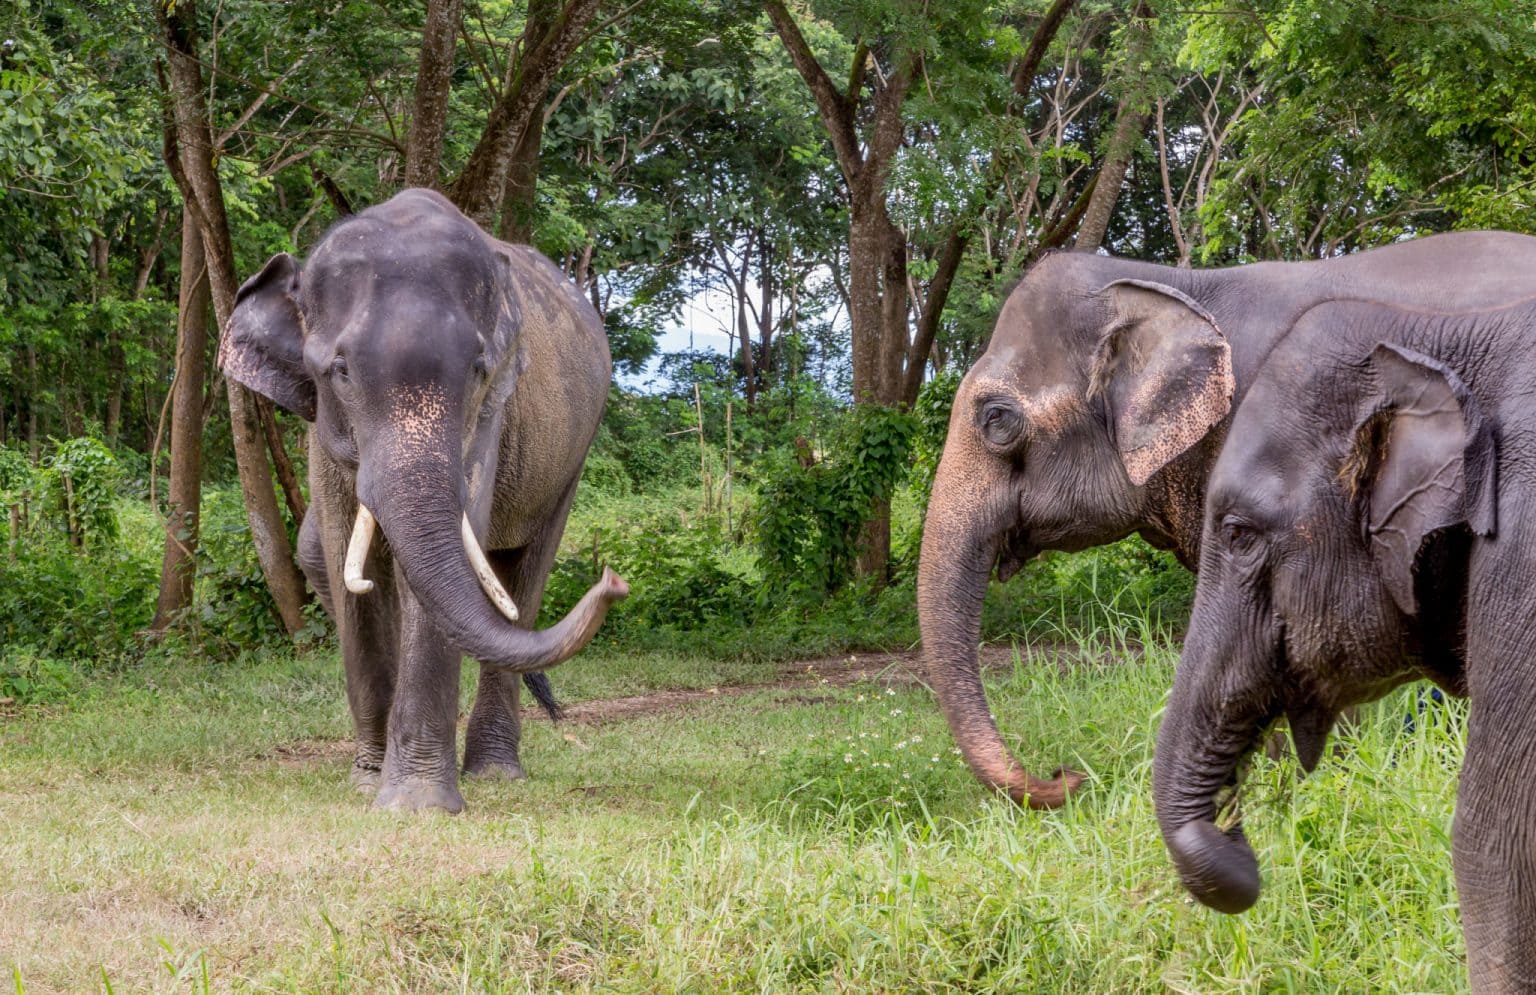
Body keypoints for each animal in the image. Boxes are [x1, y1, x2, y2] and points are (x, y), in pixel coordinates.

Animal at [220, 188, 629, 814]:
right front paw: (369, 780)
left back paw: (495, 771)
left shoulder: (491, 417)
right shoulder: (320, 431)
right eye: (339, 371)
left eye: (479, 369)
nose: (613, 581)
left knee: (523, 581)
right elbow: (347, 557)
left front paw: (417, 803)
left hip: (571, 459)